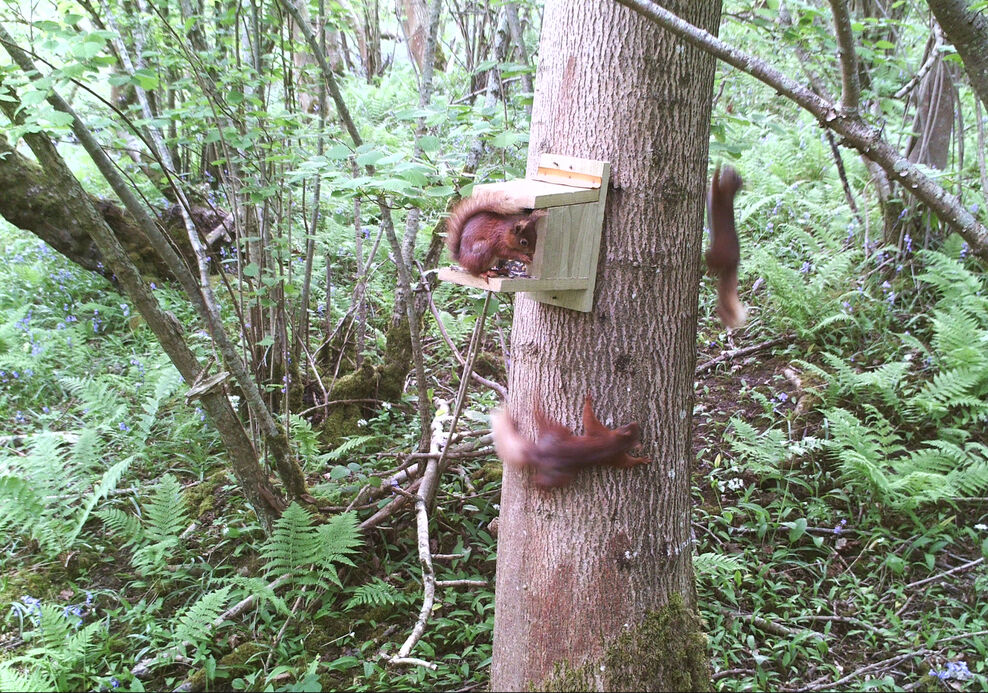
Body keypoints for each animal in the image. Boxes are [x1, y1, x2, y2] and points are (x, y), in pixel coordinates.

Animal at [492, 395, 649, 488]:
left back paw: (535, 484)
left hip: (559, 465)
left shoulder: (615, 455)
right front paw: (588, 400)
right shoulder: (600, 433)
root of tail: (540, 453)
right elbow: (589, 418)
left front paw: (641, 460)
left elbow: (627, 463)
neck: (616, 442)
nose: (636, 422)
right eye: (628, 426)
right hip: (557, 435)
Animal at [706, 166, 747, 328]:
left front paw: (716, 167)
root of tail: (735, 261)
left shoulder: (717, 194)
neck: (729, 194)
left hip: (717, 253)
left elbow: (713, 184)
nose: (728, 167)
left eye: (733, 174)